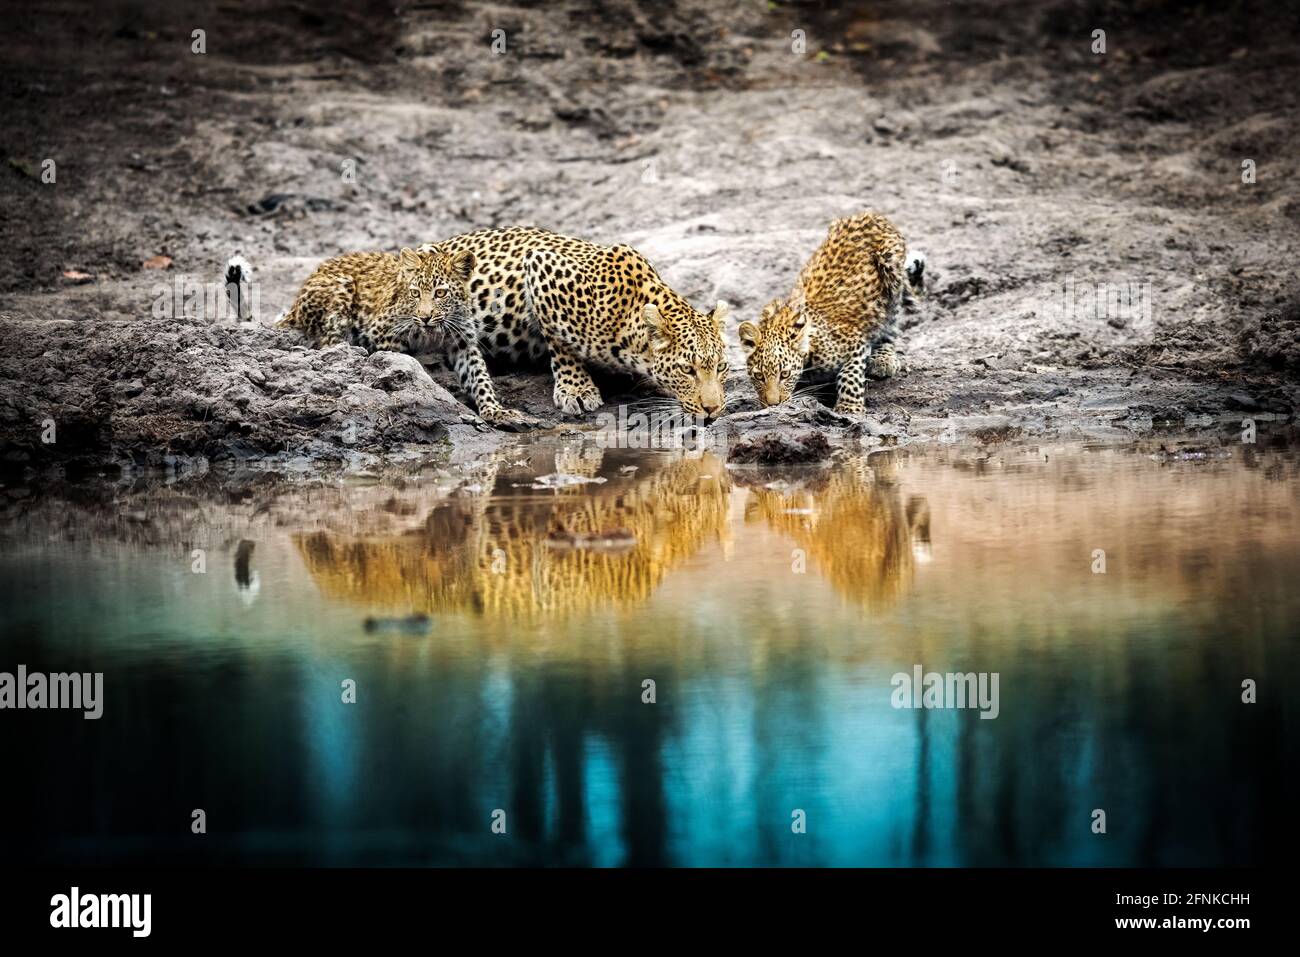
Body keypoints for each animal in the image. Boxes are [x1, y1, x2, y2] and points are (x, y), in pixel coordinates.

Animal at [419, 226, 731, 425]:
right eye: (687, 370)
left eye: (722, 367)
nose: (713, 409)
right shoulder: (540, 266)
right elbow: (560, 341)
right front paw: (577, 389)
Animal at [738, 212, 925, 414]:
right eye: (759, 376)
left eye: (785, 374)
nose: (773, 405)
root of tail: (870, 213)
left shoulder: (854, 340)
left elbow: (850, 374)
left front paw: (849, 407)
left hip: (891, 268)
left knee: (891, 321)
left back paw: (883, 357)